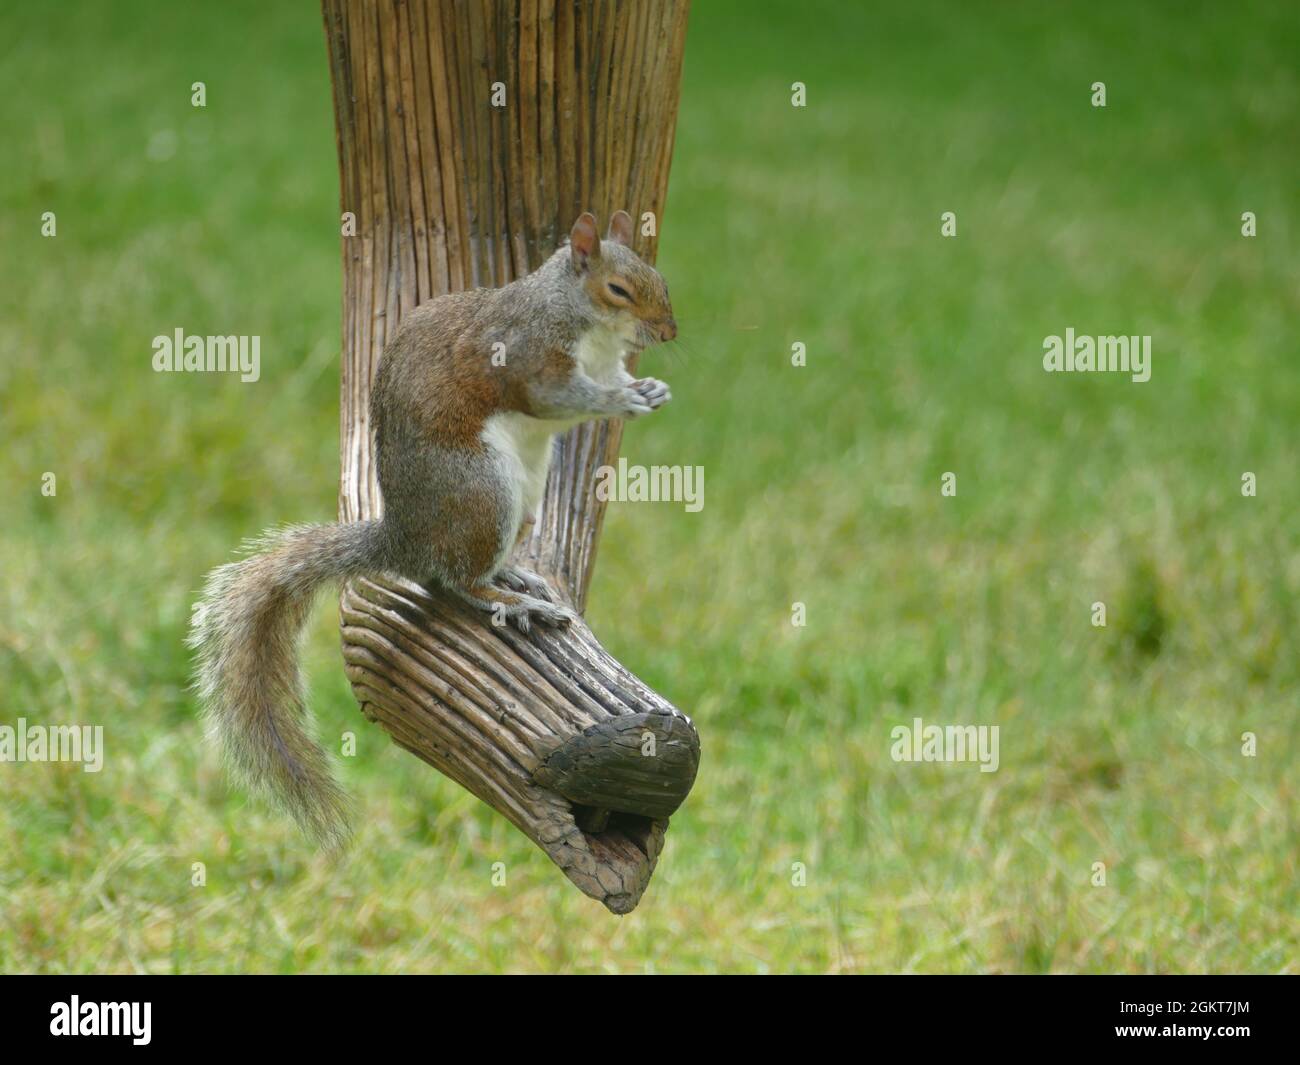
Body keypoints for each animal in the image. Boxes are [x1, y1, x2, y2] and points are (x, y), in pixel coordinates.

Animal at [189, 210, 677, 848]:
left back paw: (518, 580)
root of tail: (405, 539)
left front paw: (651, 388)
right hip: (483, 490)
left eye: (658, 278)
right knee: (454, 582)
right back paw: (513, 602)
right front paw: (623, 397)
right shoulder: (530, 357)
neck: (580, 319)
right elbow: (555, 397)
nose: (668, 332)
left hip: (524, 496)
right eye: (618, 289)